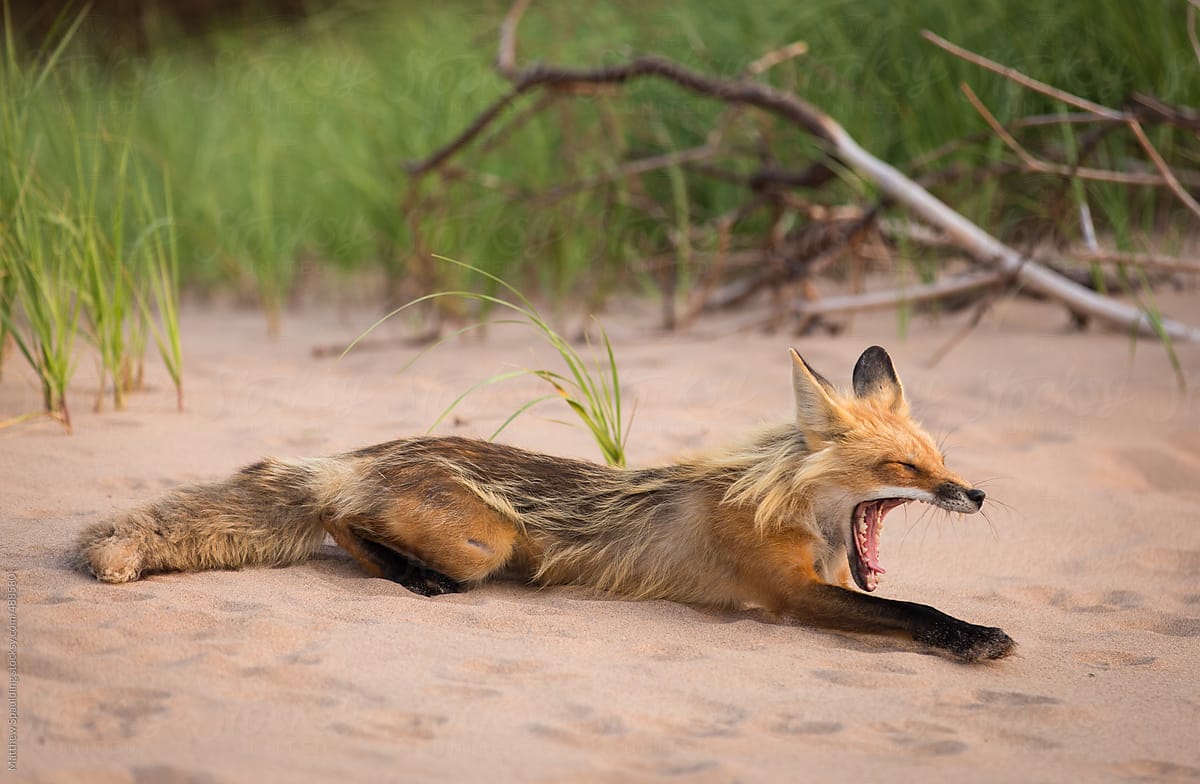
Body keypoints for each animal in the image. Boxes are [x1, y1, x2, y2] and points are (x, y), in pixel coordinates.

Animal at [75, 346, 1014, 661]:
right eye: (904, 465)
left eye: (940, 459)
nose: (975, 491)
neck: (783, 508)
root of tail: (365, 453)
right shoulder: (786, 594)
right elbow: (913, 610)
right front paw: (970, 637)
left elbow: (897, 599)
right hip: (483, 541)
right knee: (343, 523)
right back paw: (413, 580)